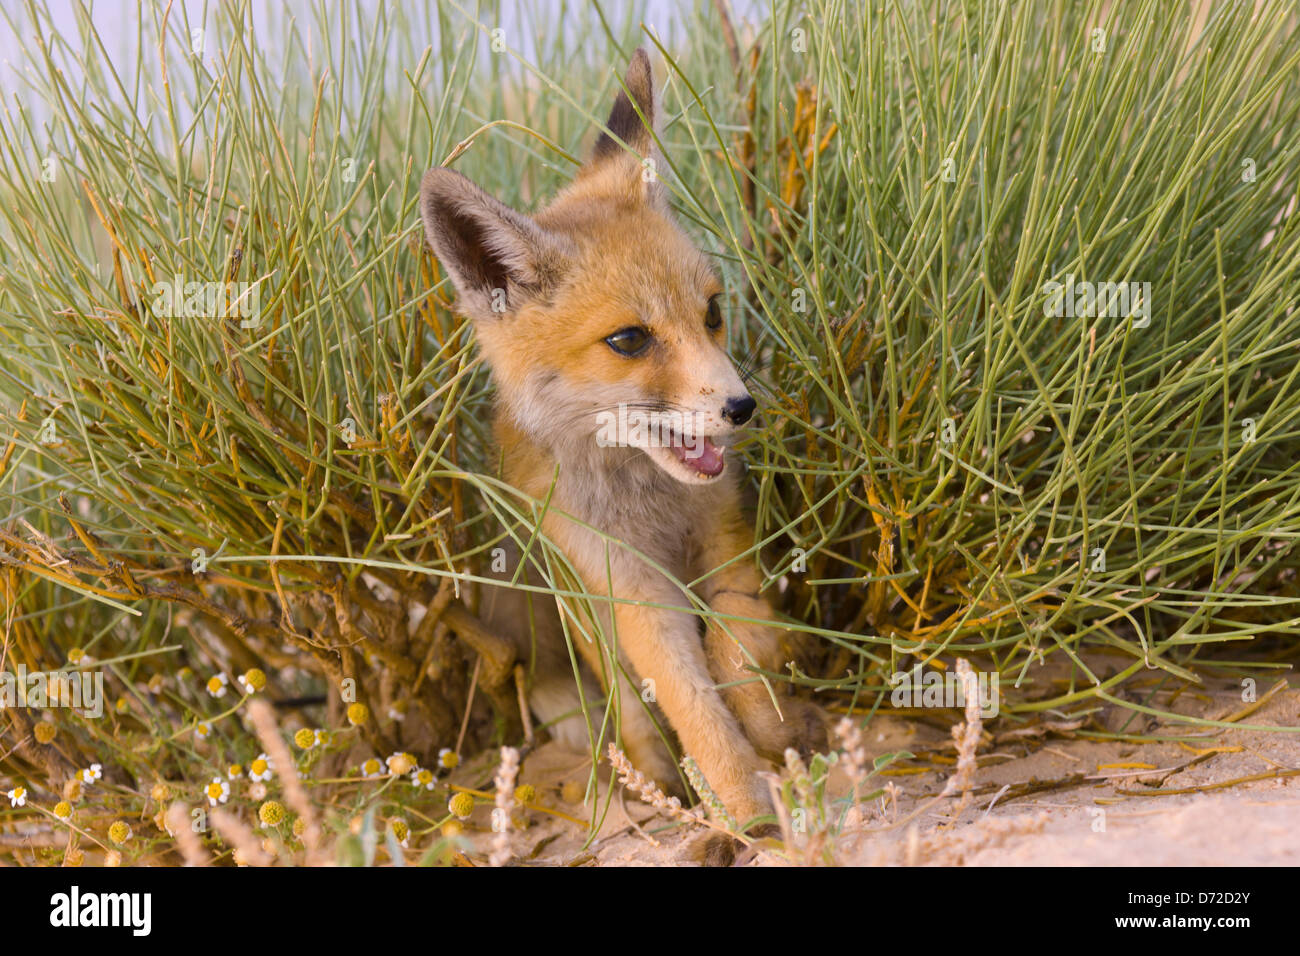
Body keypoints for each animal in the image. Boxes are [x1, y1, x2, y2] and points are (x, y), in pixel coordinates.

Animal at [418, 48, 826, 836]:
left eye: (713, 312)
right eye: (630, 340)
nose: (741, 407)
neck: (647, 502)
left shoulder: (726, 533)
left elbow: (734, 647)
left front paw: (771, 734)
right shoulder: (625, 581)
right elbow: (686, 697)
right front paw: (741, 805)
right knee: (623, 708)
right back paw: (656, 784)